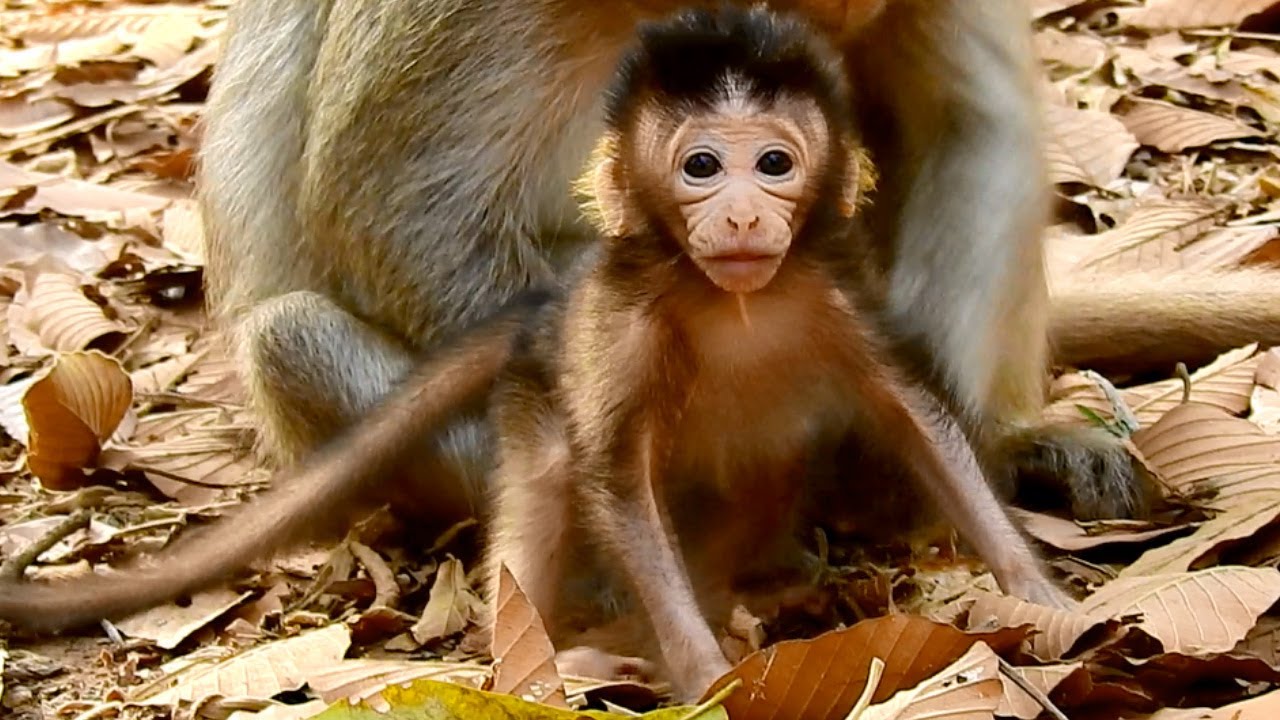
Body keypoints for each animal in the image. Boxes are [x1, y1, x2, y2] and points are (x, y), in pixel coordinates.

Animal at [479, 7, 1070, 700]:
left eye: (773, 163)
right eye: (701, 166)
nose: (741, 217)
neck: (735, 302)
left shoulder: (837, 294)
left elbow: (917, 419)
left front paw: (1035, 590)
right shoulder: (625, 328)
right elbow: (623, 485)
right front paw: (705, 676)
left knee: (762, 484)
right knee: (544, 487)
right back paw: (547, 662)